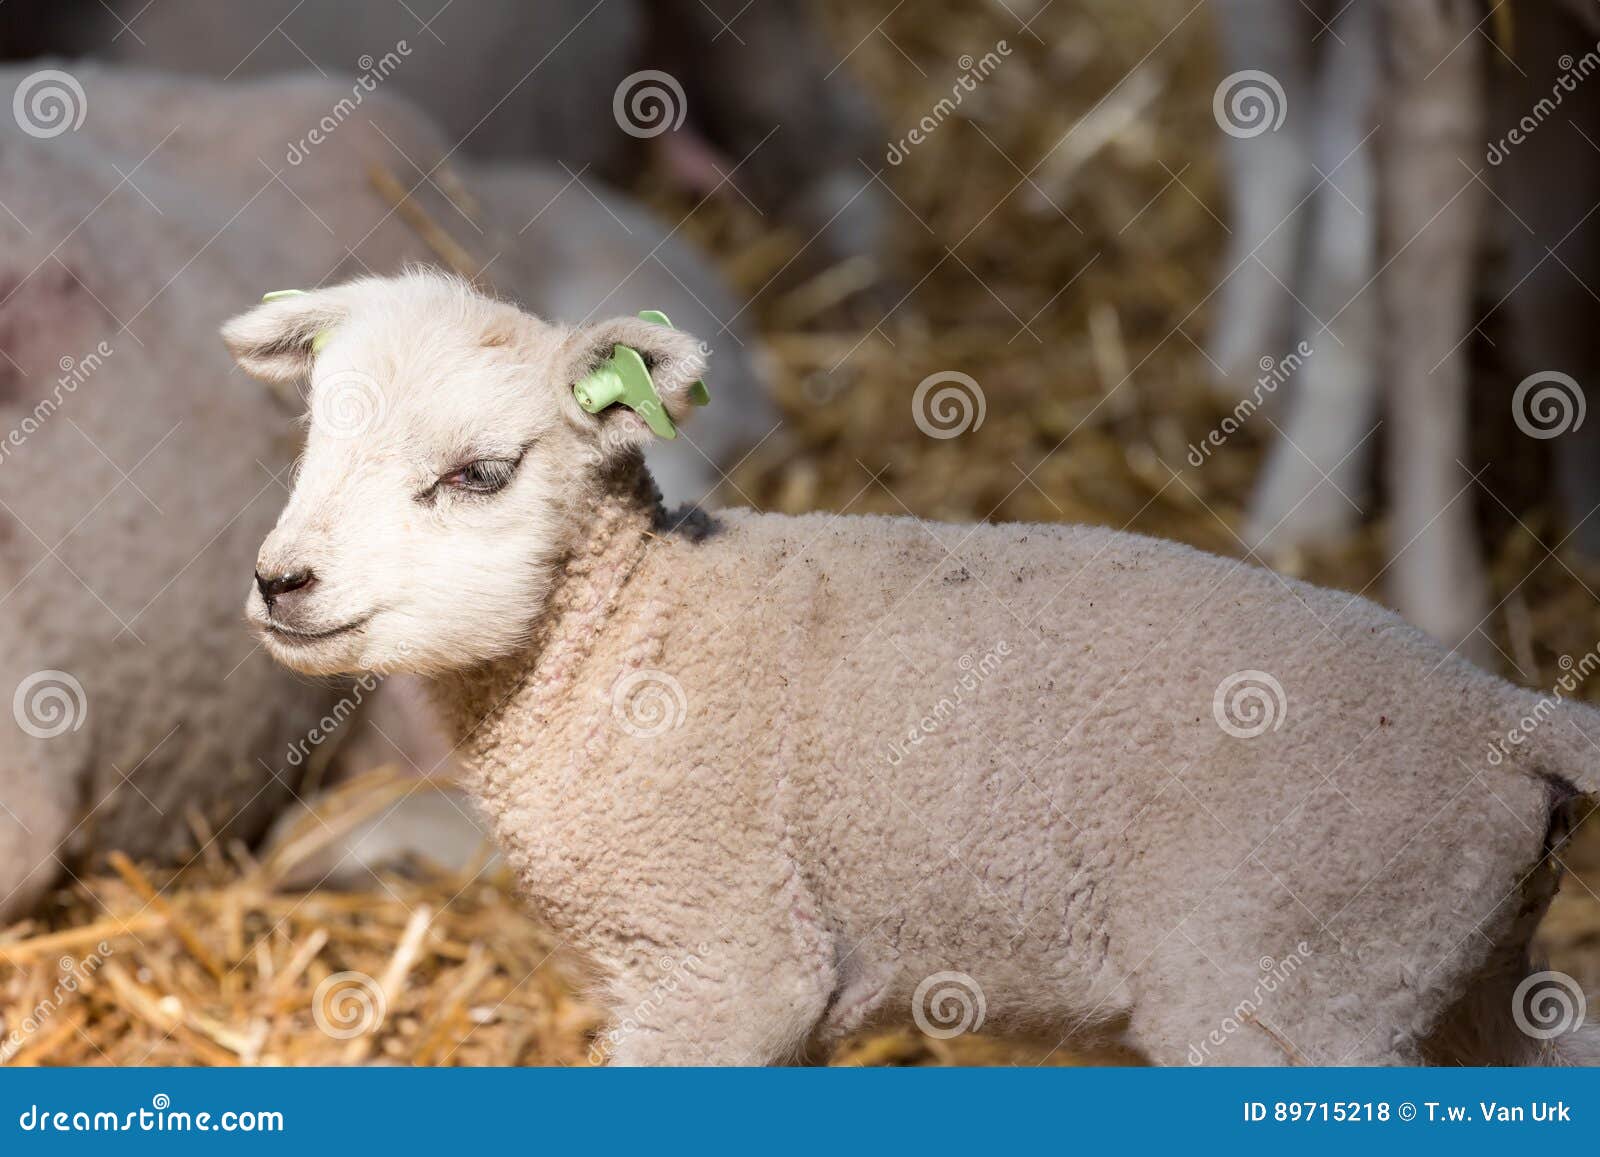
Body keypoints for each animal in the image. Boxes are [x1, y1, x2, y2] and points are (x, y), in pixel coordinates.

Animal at [228, 268, 1600, 1065]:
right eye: (313, 433)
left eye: (479, 473)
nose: (281, 581)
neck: (637, 633)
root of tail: (1507, 717)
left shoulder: (723, 963)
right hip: (1451, 971)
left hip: (1290, 982)